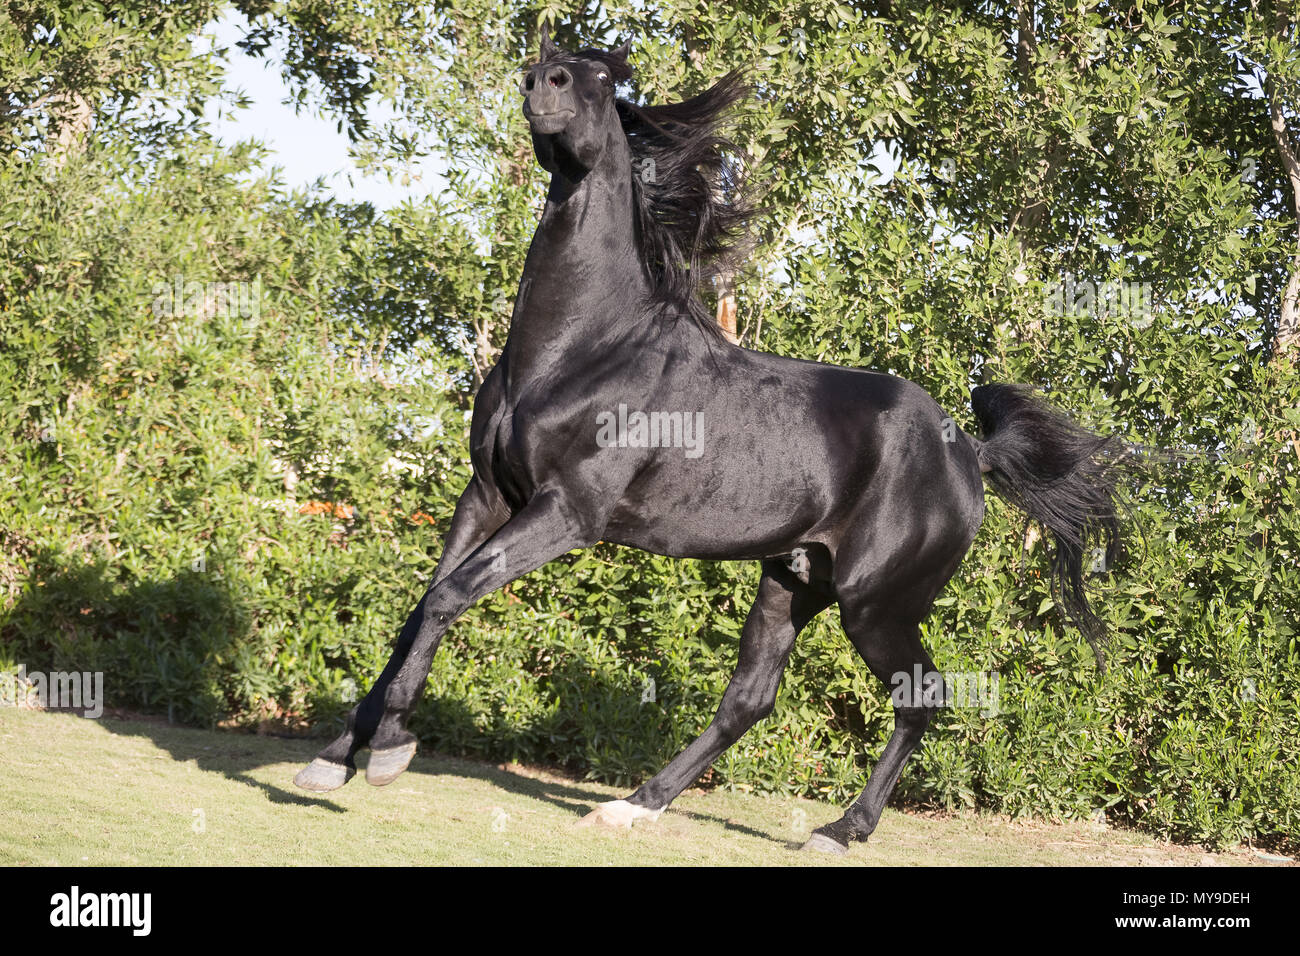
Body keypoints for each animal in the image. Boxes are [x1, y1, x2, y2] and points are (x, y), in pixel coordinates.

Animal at [294, 32, 1131, 854]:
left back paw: (838, 831)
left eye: (602, 78)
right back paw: (632, 808)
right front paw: (332, 760)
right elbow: (422, 607)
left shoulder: (566, 513)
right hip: (795, 580)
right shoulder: (490, 495)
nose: (542, 82)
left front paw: (390, 752)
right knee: (750, 699)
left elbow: (449, 597)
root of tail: (969, 455)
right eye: (556, 61)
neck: (581, 350)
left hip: (877, 604)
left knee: (921, 698)